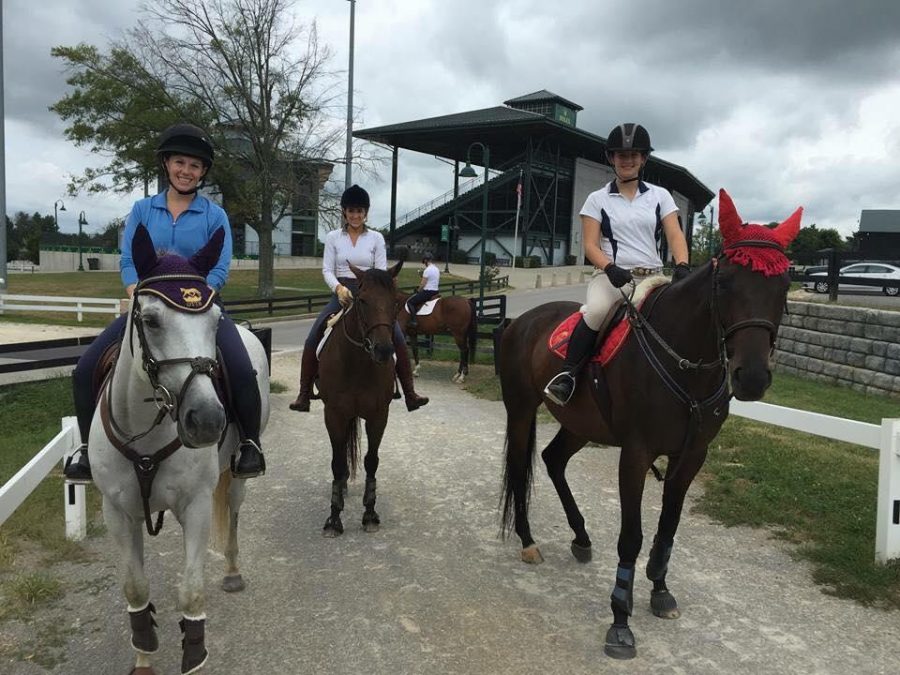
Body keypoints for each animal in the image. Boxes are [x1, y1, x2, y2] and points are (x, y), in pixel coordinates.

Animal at [90, 226, 269, 675]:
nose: (206, 420)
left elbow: (191, 590)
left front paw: (193, 653)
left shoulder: (196, 506)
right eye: (151, 320)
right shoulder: (118, 512)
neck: (147, 432)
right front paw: (144, 655)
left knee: (234, 511)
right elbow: (135, 588)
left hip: (236, 474)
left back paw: (233, 570)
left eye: (215, 320)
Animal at [318, 261, 403, 536]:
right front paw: (334, 517)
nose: (384, 350)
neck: (356, 363)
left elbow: (371, 461)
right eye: (363, 300)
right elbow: (336, 462)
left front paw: (370, 514)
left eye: (395, 301)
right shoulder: (334, 414)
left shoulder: (378, 416)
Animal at [498, 189, 802, 660]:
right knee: (519, 467)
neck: (685, 362)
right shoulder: (636, 454)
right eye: (726, 283)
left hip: (580, 425)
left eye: (784, 284)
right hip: (521, 410)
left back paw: (581, 537)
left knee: (553, 459)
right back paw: (529, 542)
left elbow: (668, 528)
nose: (751, 377)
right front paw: (620, 621)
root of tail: (523, 320)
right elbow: (632, 537)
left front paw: (659, 589)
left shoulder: (691, 455)